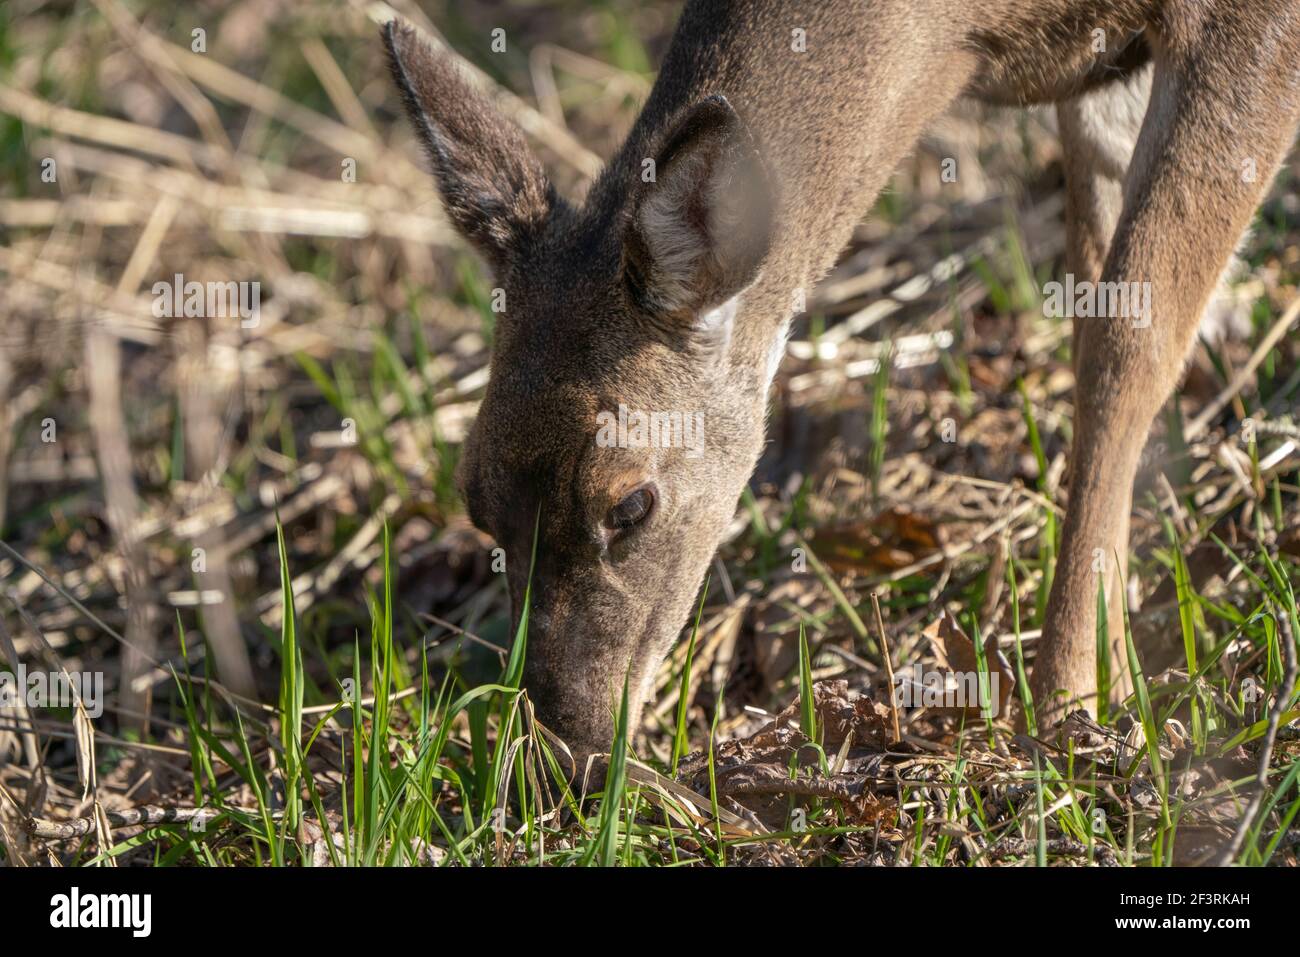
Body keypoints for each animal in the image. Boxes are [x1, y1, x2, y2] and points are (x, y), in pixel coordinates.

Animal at [382, 1, 1300, 762]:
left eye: (630, 502)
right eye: (474, 499)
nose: (567, 743)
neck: (989, 29)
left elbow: (1128, 340)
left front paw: (1073, 697)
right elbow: (1098, 290)